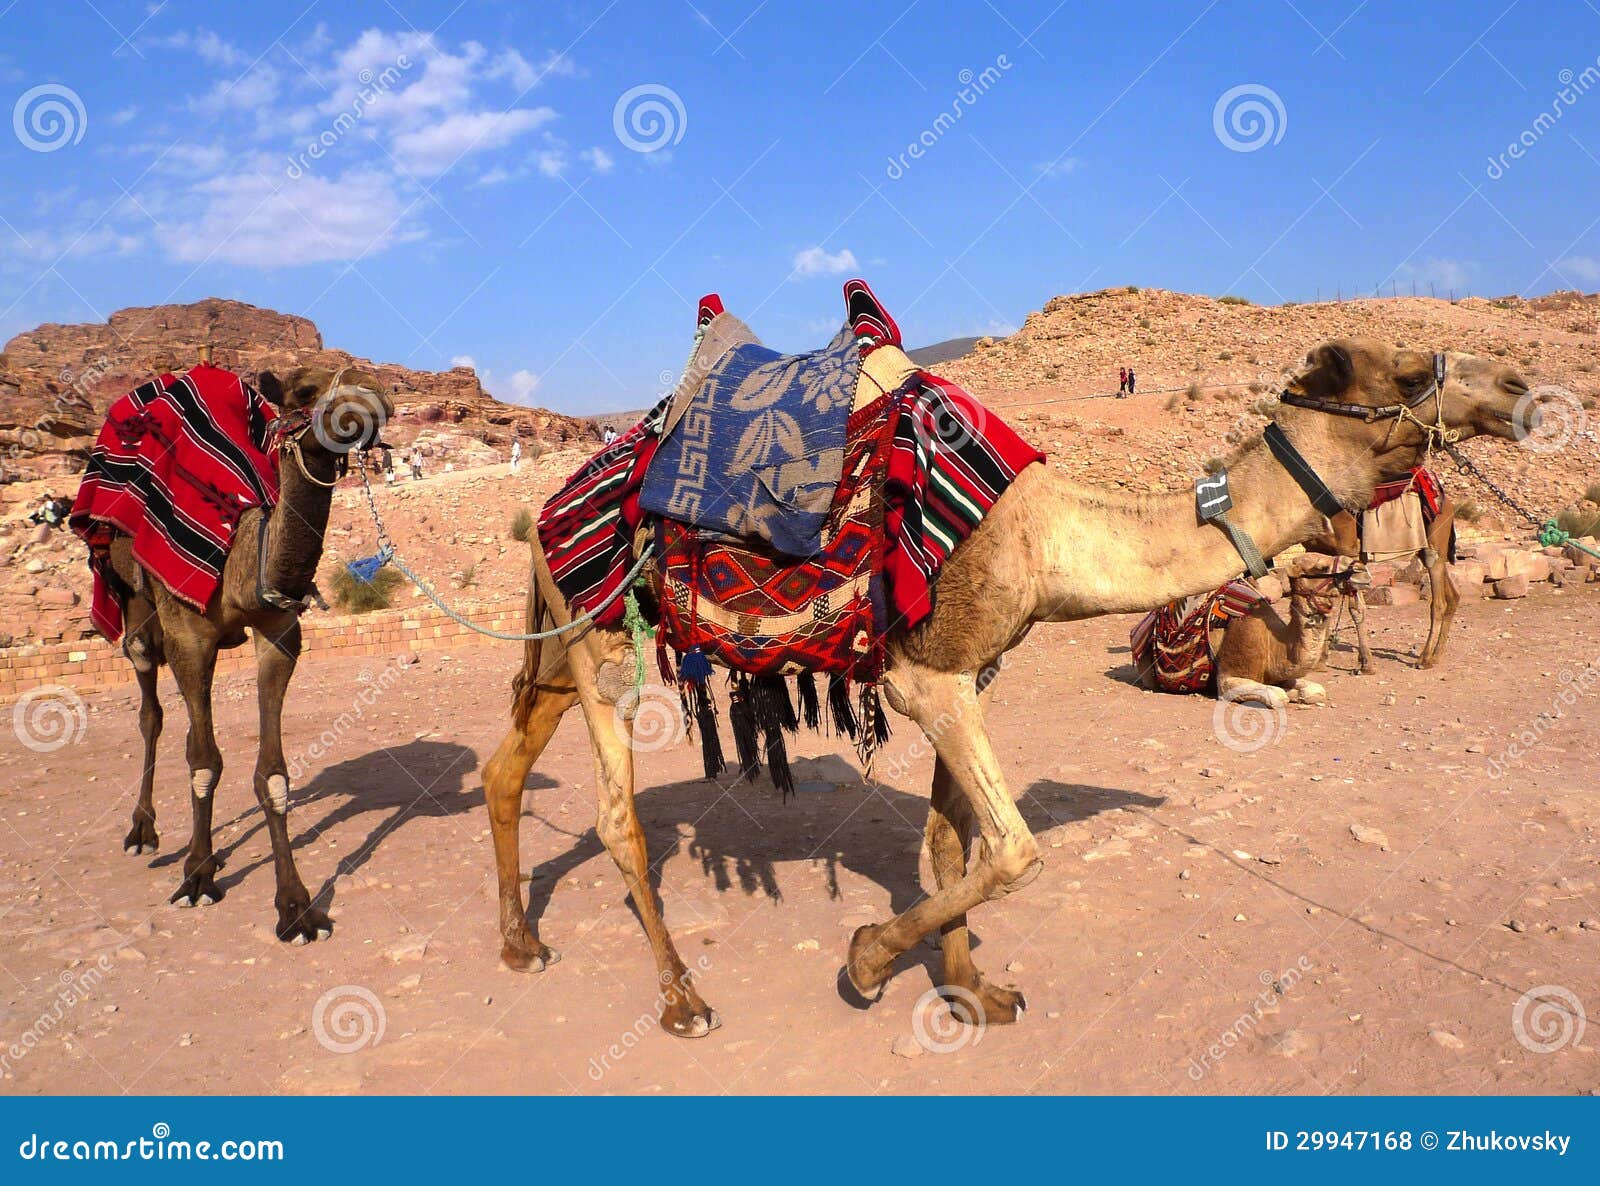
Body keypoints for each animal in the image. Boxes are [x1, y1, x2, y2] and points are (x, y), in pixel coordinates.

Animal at [114, 367, 391, 943]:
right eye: (305, 390)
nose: (374, 395)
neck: (243, 555)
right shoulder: (187, 634)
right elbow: (203, 761)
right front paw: (197, 878)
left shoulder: (280, 635)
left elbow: (273, 776)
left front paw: (296, 908)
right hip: (134, 598)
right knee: (151, 701)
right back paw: (146, 832)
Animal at [481, 339, 1531, 1036]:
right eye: (1407, 376)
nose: (1522, 390)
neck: (1043, 530)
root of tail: (546, 506)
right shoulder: (922, 678)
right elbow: (1017, 851)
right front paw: (867, 957)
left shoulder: (972, 671)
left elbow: (954, 844)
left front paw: (973, 993)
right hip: (600, 634)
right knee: (616, 814)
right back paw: (683, 997)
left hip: (558, 632)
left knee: (506, 764)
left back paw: (522, 943)